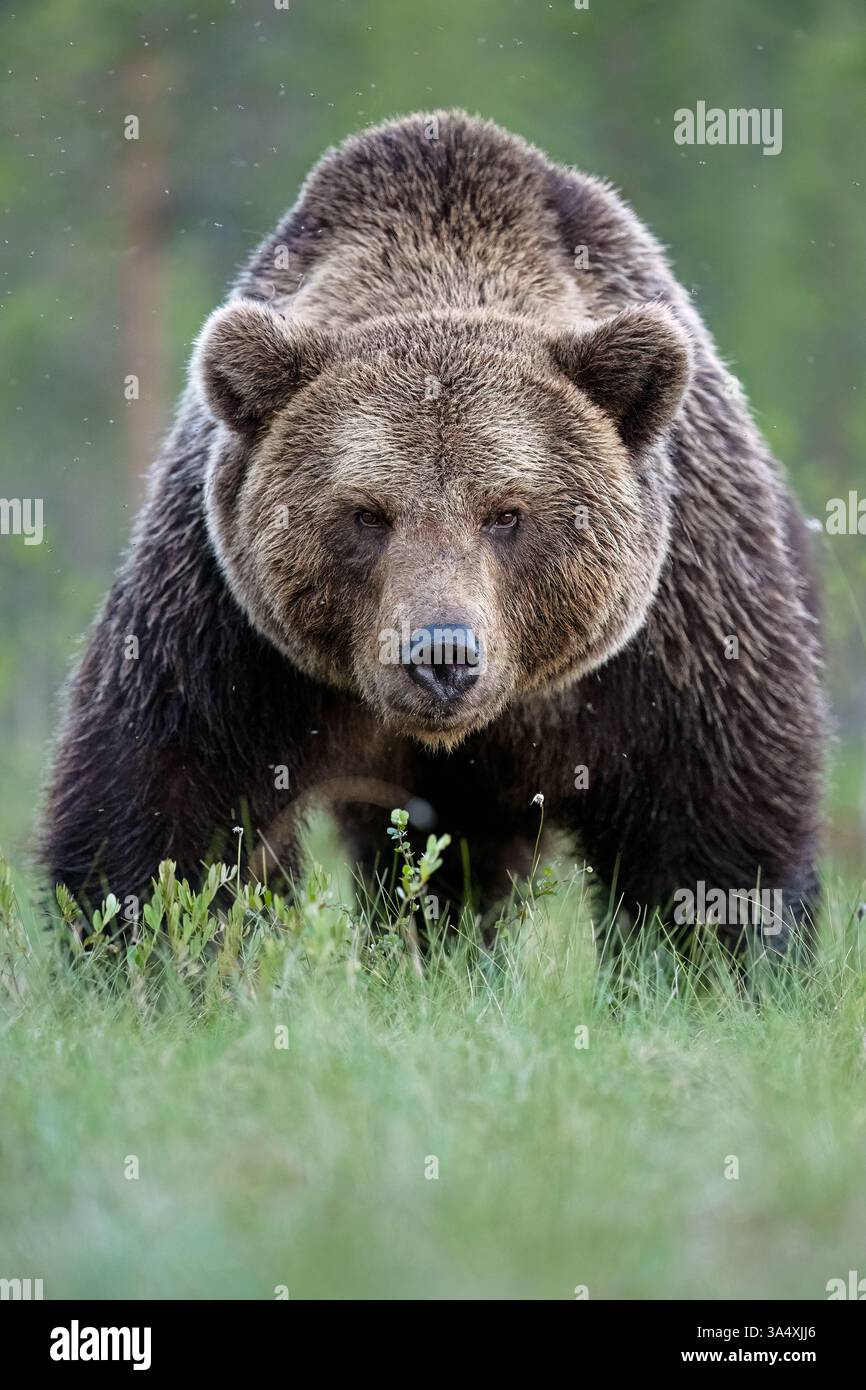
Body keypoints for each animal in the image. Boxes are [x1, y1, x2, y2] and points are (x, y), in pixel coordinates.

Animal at [42, 110, 825, 954]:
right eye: (366, 513)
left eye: (507, 513)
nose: (442, 654)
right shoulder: (229, 632)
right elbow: (163, 813)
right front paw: (150, 950)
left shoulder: (673, 638)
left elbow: (709, 837)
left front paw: (716, 956)